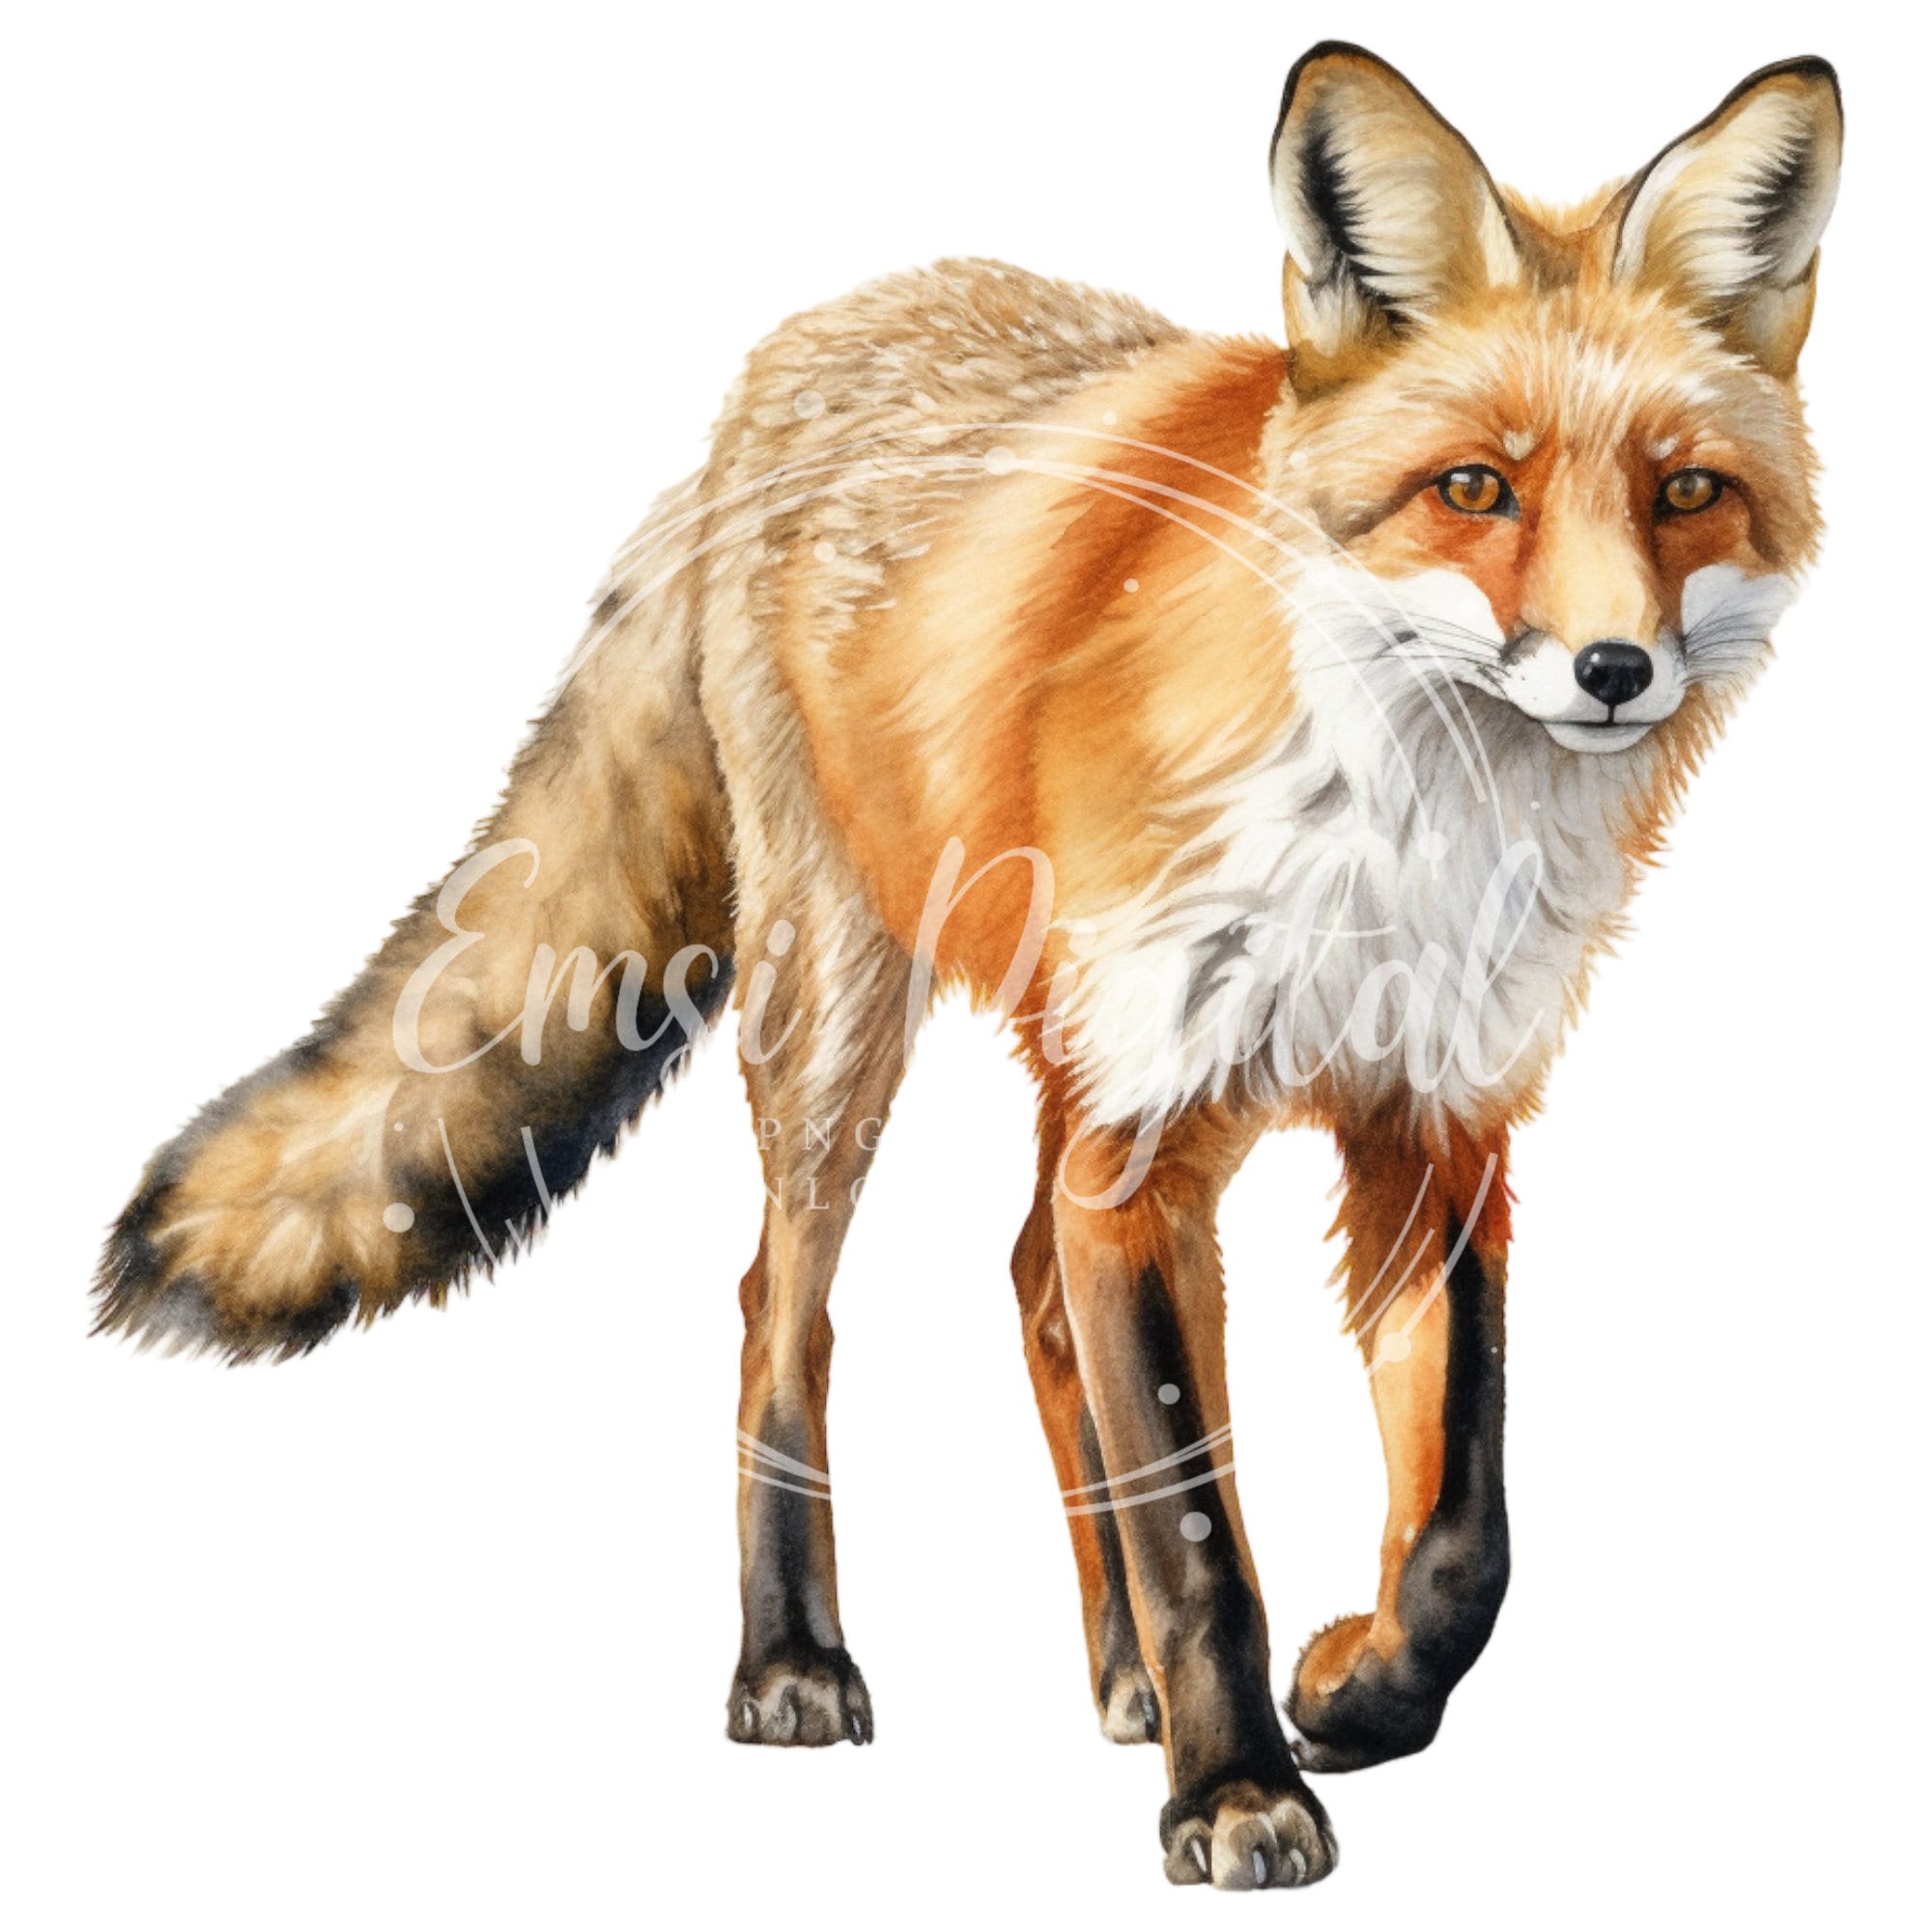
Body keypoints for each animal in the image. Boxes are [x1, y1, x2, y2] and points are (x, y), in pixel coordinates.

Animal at [96, 44, 1841, 1890]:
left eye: (1684, 493)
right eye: (1475, 491)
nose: (1615, 668)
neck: (1397, 834)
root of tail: (780, 363)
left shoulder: (1433, 1120)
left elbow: (1462, 1529)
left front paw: (1359, 1695)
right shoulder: (1149, 1135)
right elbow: (1200, 1528)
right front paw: (1239, 1790)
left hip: (1078, 1067)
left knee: (1026, 1286)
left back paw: (1116, 1671)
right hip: (843, 1015)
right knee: (779, 1310)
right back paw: (796, 1658)